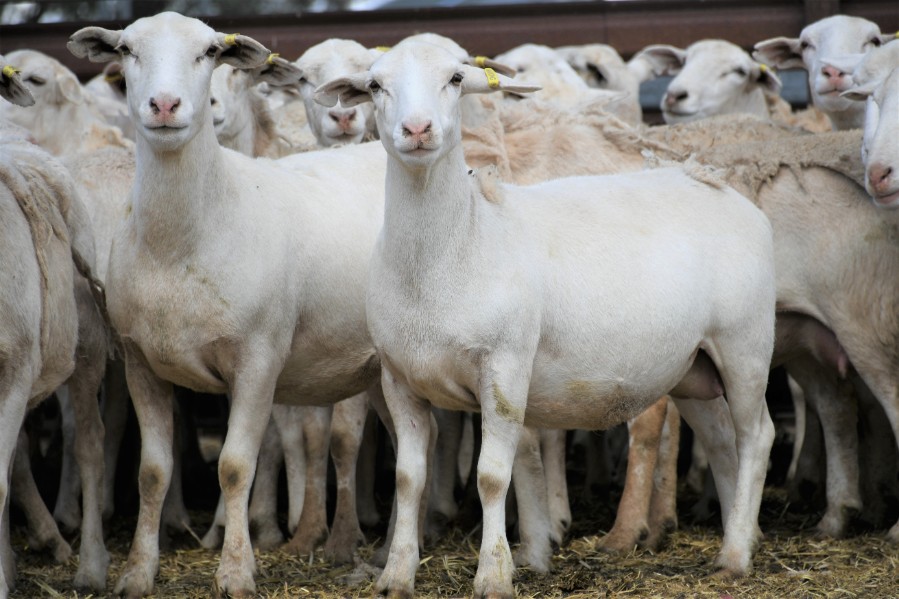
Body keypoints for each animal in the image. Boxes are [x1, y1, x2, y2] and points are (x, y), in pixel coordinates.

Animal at [67, 13, 396, 596]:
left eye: (209, 53)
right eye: (126, 50)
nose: (165, 105)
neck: (183, 243)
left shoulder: (258, 359)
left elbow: (235, 465)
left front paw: (237, 571)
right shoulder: (140, 361)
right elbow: (152, 471)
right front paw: (137, 571)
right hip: (378, 369)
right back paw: (386, 555)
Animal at [316, 39, 778, 596]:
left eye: (455, 79)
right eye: (375, 85)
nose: (418, 129)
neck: (457, 244)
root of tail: (717, 184)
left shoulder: (505, 366)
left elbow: (492, 476)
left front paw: (494, 575)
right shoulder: (399, 377)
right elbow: (410, 478)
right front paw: (396, 575)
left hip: (745, 344)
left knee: (757, 437)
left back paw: (735, 554)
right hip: (693, 366)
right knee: (723, 441)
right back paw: (738, 542)